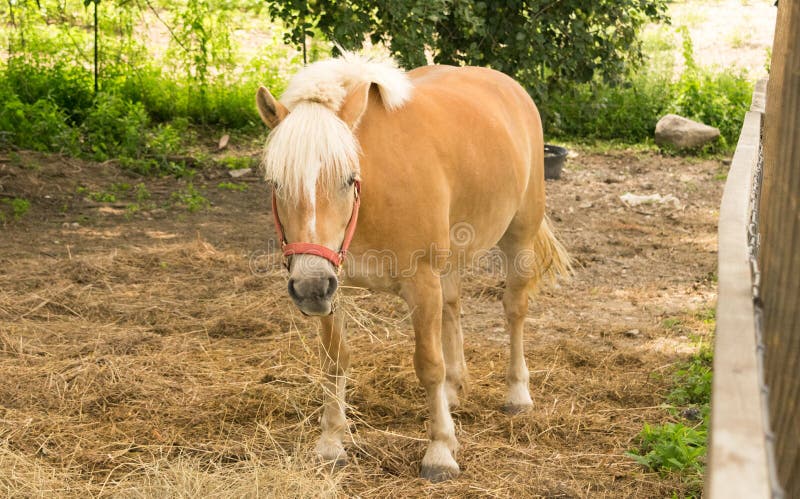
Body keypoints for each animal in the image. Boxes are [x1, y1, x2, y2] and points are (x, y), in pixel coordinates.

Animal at [255, 52, 571, 482]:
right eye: (276, 183)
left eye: (349, 178)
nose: (309, 288)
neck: (371, 197)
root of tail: (509, 86)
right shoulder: (335, 285)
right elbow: (334, 361)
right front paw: (331, 442)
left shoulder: (420, 283)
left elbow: (428, 364)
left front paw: (440, 451)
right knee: (453, 308)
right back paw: (455, 389)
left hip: (518, 236)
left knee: (514, 310)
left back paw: (517, 393)